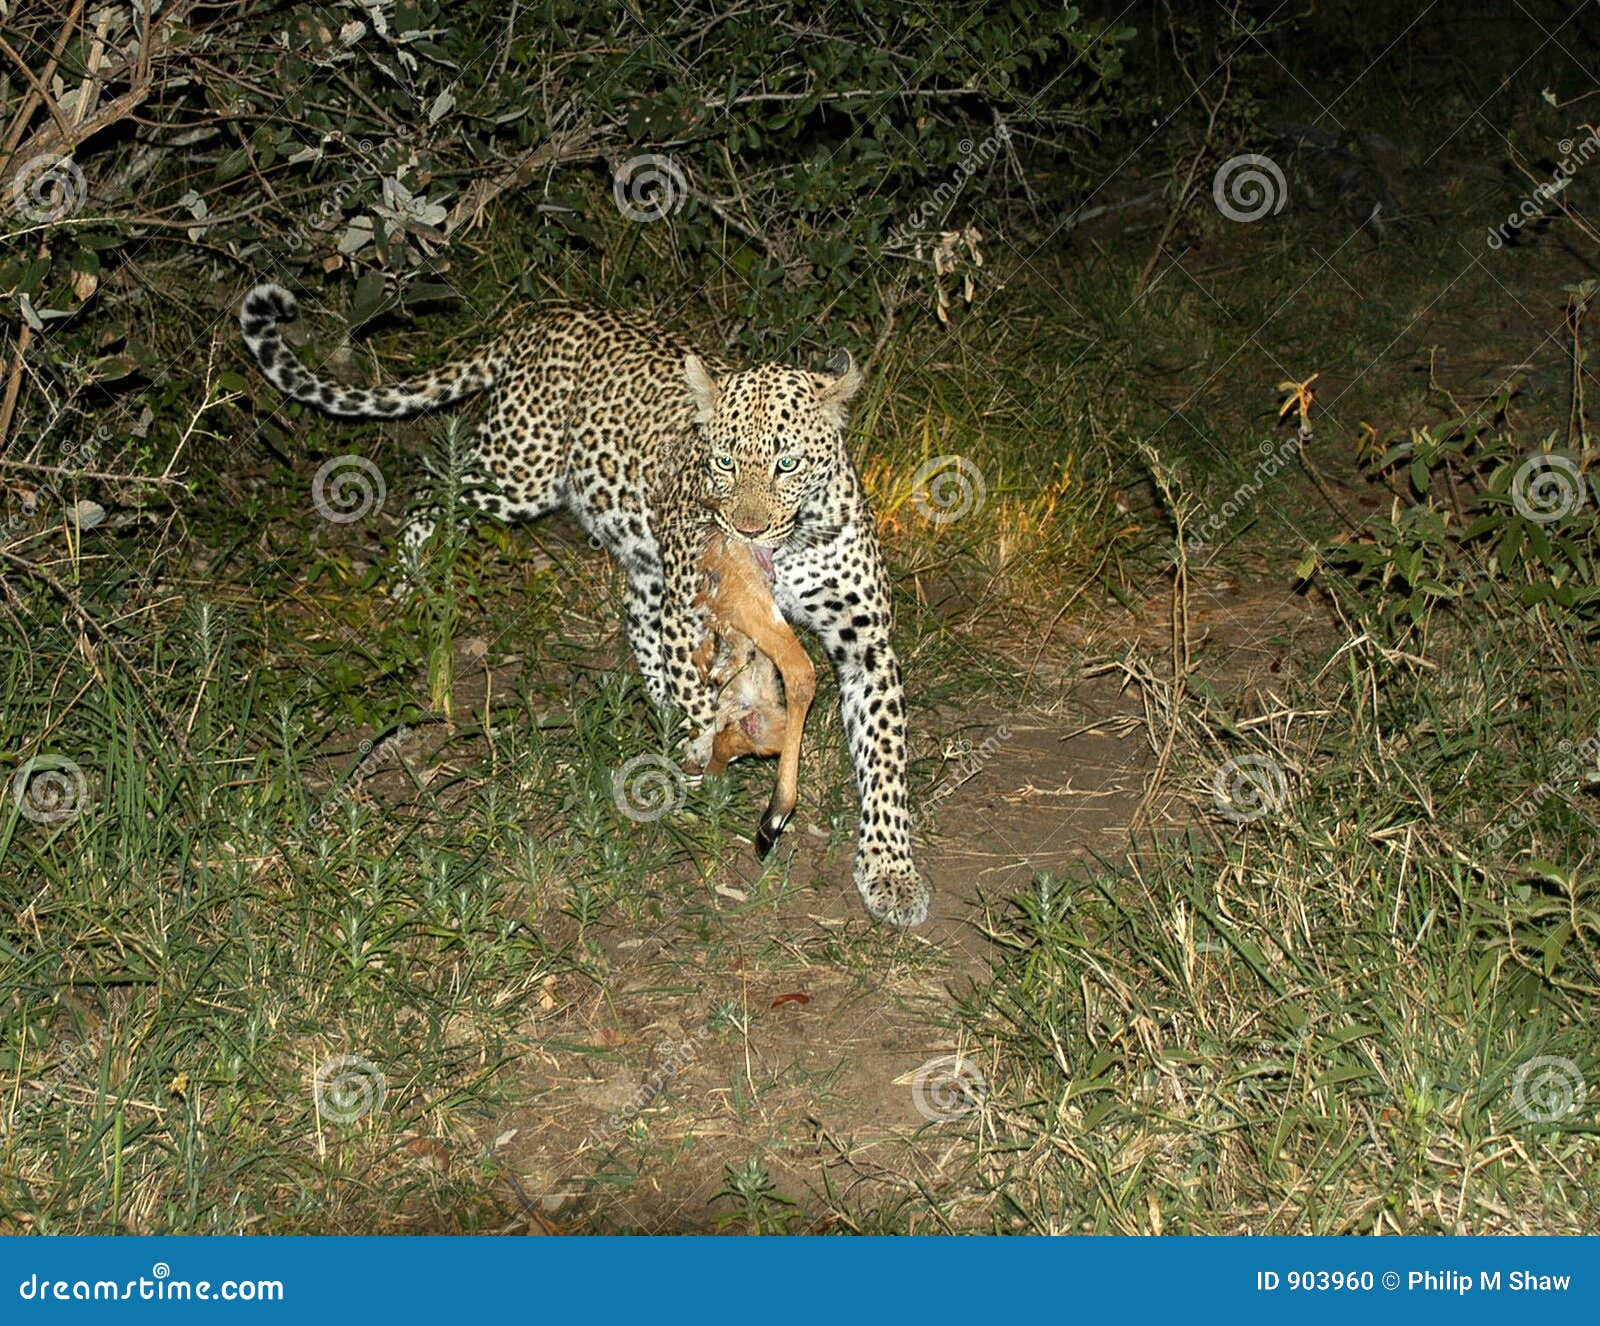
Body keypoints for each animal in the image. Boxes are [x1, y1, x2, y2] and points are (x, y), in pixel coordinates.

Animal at [238, 283, 930, 927]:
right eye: (724, 461)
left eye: (788, 462)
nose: (746, 530)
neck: (788, 547)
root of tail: (544, 313)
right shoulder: (692, 611)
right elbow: (703, 703)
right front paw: (701, 765)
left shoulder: (866, 642)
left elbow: (886, 758)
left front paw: (891, 872)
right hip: (518, 474)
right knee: (433, 490)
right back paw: (410, 587)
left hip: (635, 551)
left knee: (638, 622)